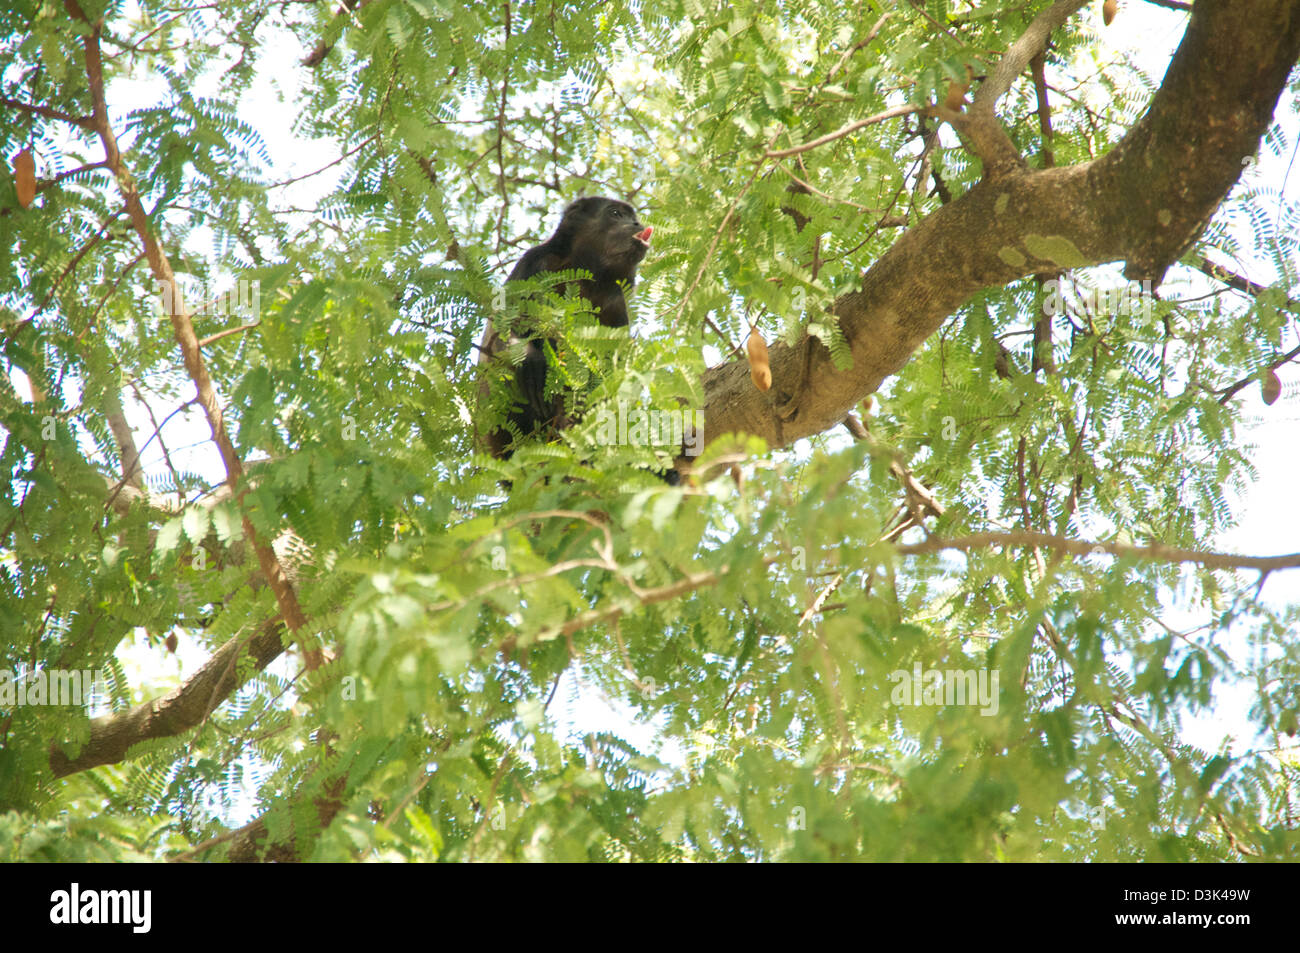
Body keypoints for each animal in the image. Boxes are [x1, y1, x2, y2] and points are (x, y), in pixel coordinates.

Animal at [477, 196, 653, 462]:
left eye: (634, 217)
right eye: (615, 214)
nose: (636, 224)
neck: (590, 274)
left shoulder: (617, 301)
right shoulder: (536, 261)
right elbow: (503, 323)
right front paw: (529, 359)